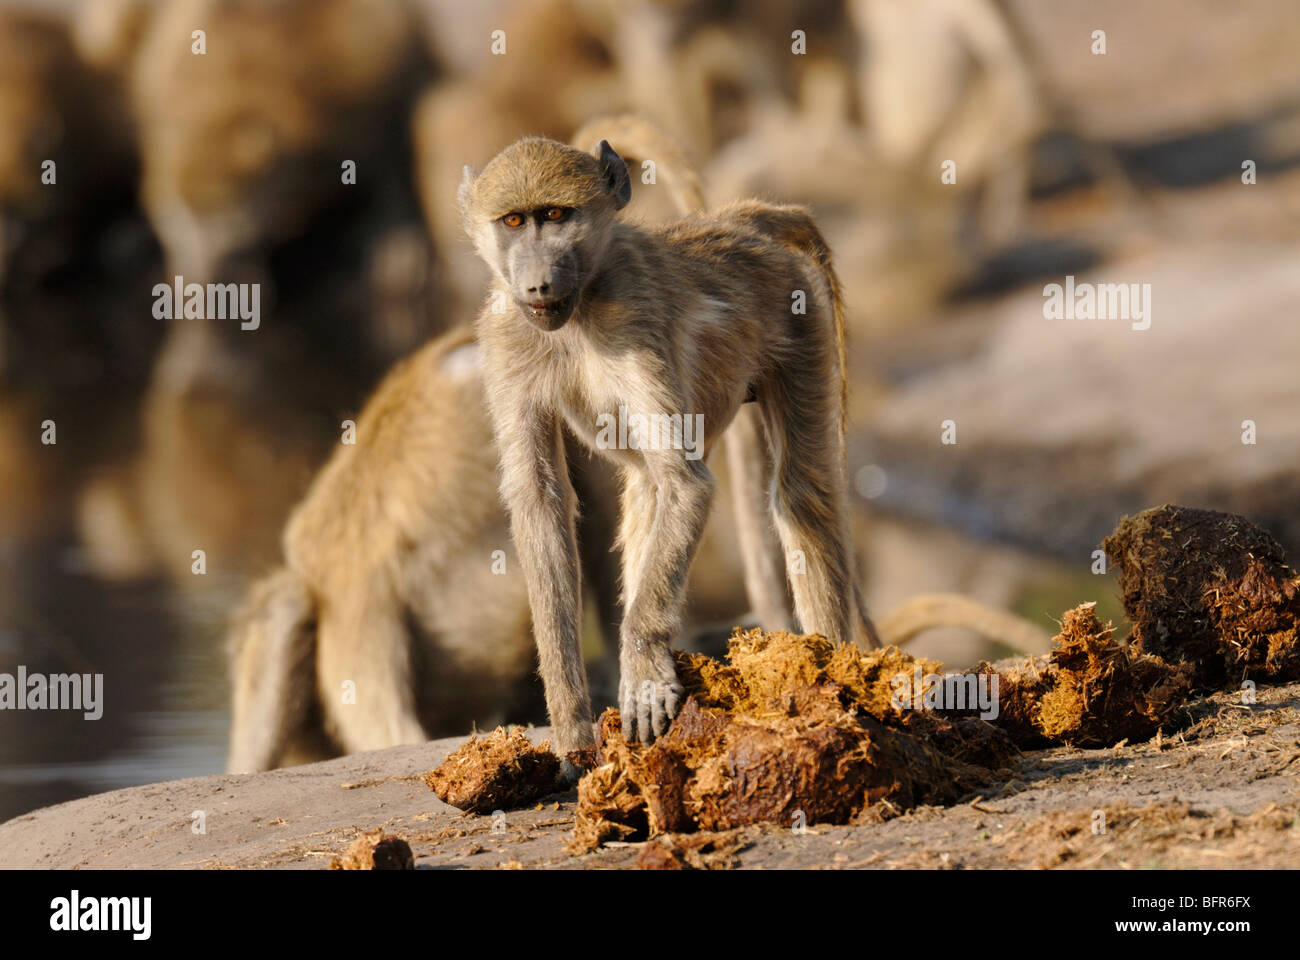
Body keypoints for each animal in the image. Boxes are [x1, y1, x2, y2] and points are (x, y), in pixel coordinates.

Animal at [459, 134, 881, 762]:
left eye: (555, 216)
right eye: (514, 221)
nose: (536, 284)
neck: (580, 308)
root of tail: (736, 225)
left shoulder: (635, 317)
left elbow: (687, 481)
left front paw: (643, 674)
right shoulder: (506, 335)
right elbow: (541, 503)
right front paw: (573, 735)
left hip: (798, 311)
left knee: (800, 493)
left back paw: (827, 678)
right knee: (647, 491)